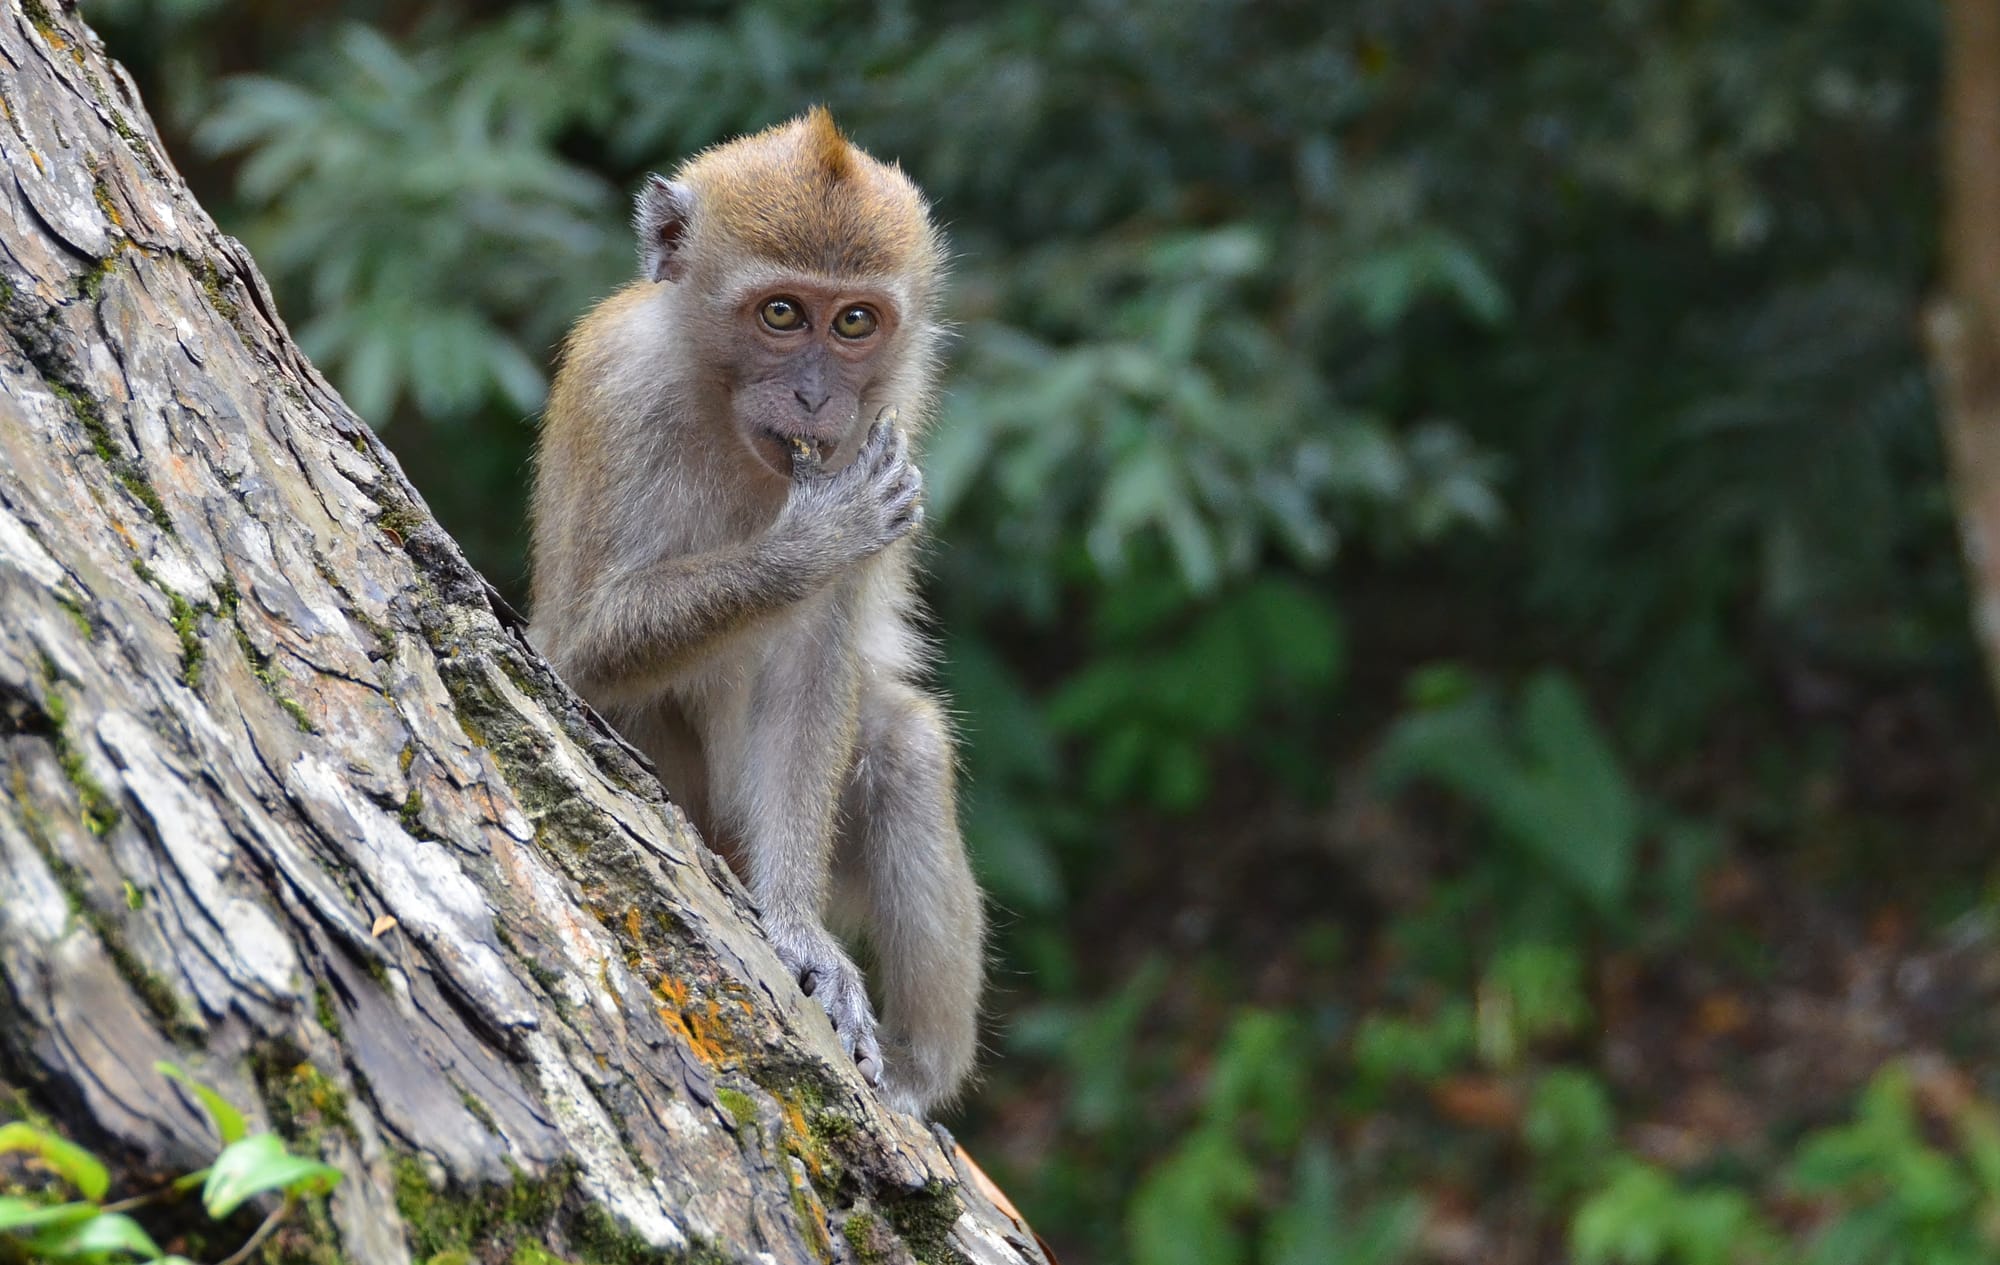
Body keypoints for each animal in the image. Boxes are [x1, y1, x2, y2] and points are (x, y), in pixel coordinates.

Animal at [527, 108, 984, 1117]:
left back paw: (920, 1074)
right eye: (781, 313)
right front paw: (812, 540)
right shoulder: (620, 391)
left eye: (853, 321)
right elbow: (583, 645)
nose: (815, 395)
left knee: (903, 745)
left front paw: (796, 927)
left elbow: (815, 665)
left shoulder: (875, 428)